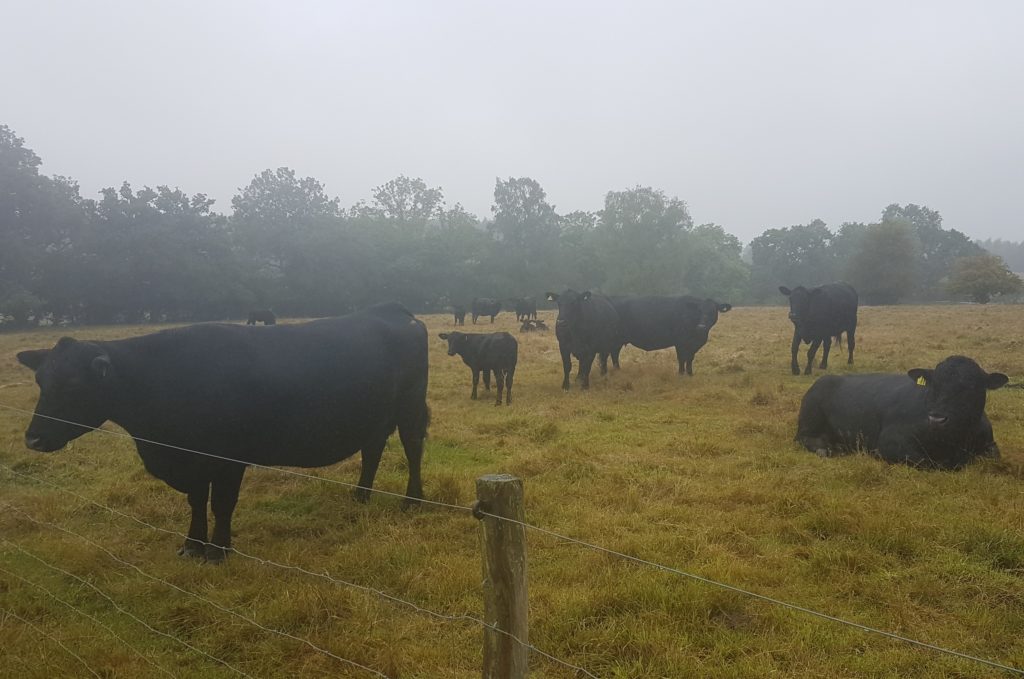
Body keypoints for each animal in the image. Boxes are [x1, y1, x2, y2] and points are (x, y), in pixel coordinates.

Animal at [16, 303, 429, 563]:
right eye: (41, 381)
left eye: (73, 385)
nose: (33, 438)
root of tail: (389, 308)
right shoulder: (194, 460)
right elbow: (197, 502)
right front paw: (191, 546)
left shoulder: (229, 458)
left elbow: (222, 504)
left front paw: (219, 551)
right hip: (376, 414)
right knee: (373, 448)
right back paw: (360, 496)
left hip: (409, 405)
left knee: (412, 446)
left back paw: (413, 501)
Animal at [795, 355, 1007, 469]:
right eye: (933, 384)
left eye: (971, 386)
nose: (936, 418)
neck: (957, 440)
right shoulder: (890, 443)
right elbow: (926, 461)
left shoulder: (990, 445)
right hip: (809, 421)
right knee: (804, 438)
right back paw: (826, 448)